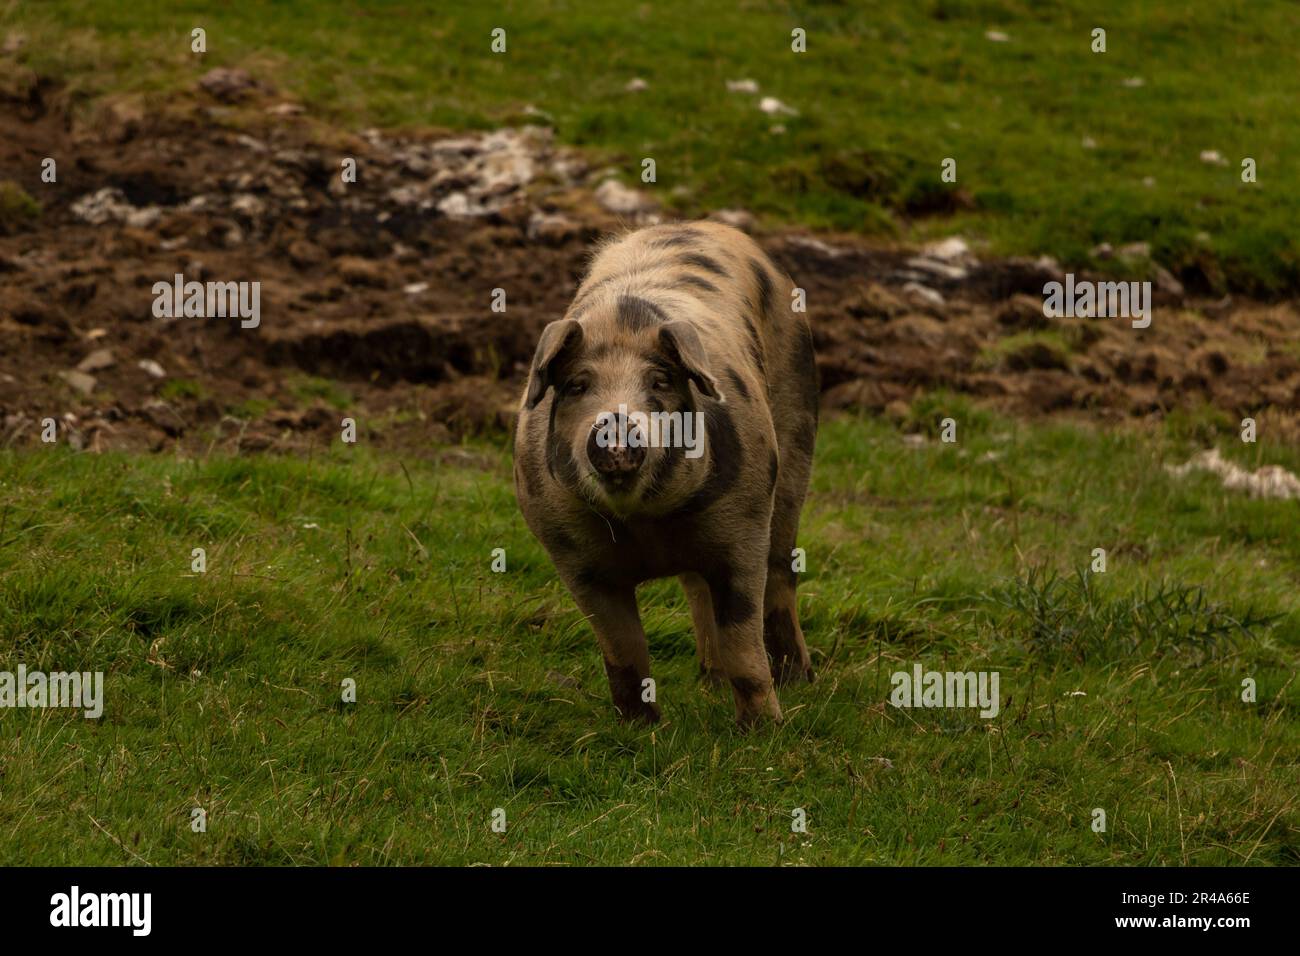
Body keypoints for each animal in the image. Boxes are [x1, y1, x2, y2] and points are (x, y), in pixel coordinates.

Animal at [513, 221, 818, 727]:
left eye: (659, 381)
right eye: (577, 385)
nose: (616, 428)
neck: (647, 525)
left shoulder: (744, 528)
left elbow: (743, 637)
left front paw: (765, 730)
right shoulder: (570, 554)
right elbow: (622, 647)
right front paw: (641, 726)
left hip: (796, 433)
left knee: (780, 576)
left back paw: (801, 680)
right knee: (696, 588)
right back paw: (710, 683)